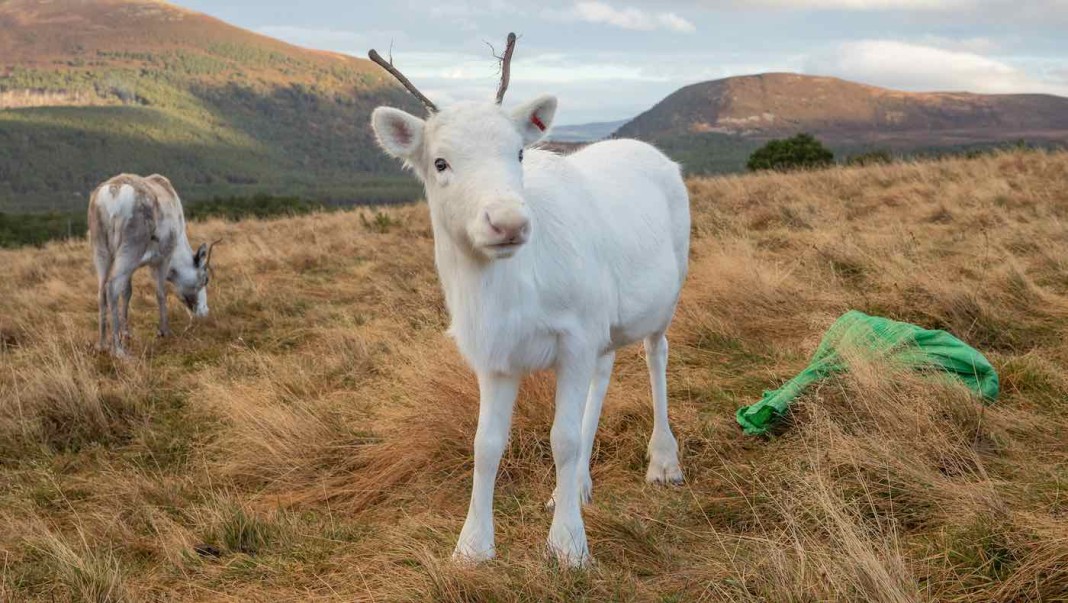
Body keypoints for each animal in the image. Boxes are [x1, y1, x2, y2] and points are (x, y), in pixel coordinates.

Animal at [88, 173, 217, 357]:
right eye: (205, 279)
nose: (205, 311)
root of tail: (113, 192)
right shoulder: (163, 257)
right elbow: (161, 292)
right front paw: (164, 331)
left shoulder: (134, 267)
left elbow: (127, 292)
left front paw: (126, 333)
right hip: (131, 247)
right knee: (112, 287)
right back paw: (118, 350)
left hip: (100, 248)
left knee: (101, 290)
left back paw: (102, 344)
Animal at [368, 34, 690, 567]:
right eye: (440, 162)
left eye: (518, 153)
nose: (509, 222)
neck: (509, 292)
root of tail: (657, 155)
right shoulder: (496, 355)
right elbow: (486, 445)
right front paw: (472, 546)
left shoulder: (574, 337)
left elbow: (563, 438)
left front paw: (569, 546)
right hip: (603, 324)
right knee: (605, 372)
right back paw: (575, 487)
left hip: (668, 292)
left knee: (656, 355)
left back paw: (664, 461)